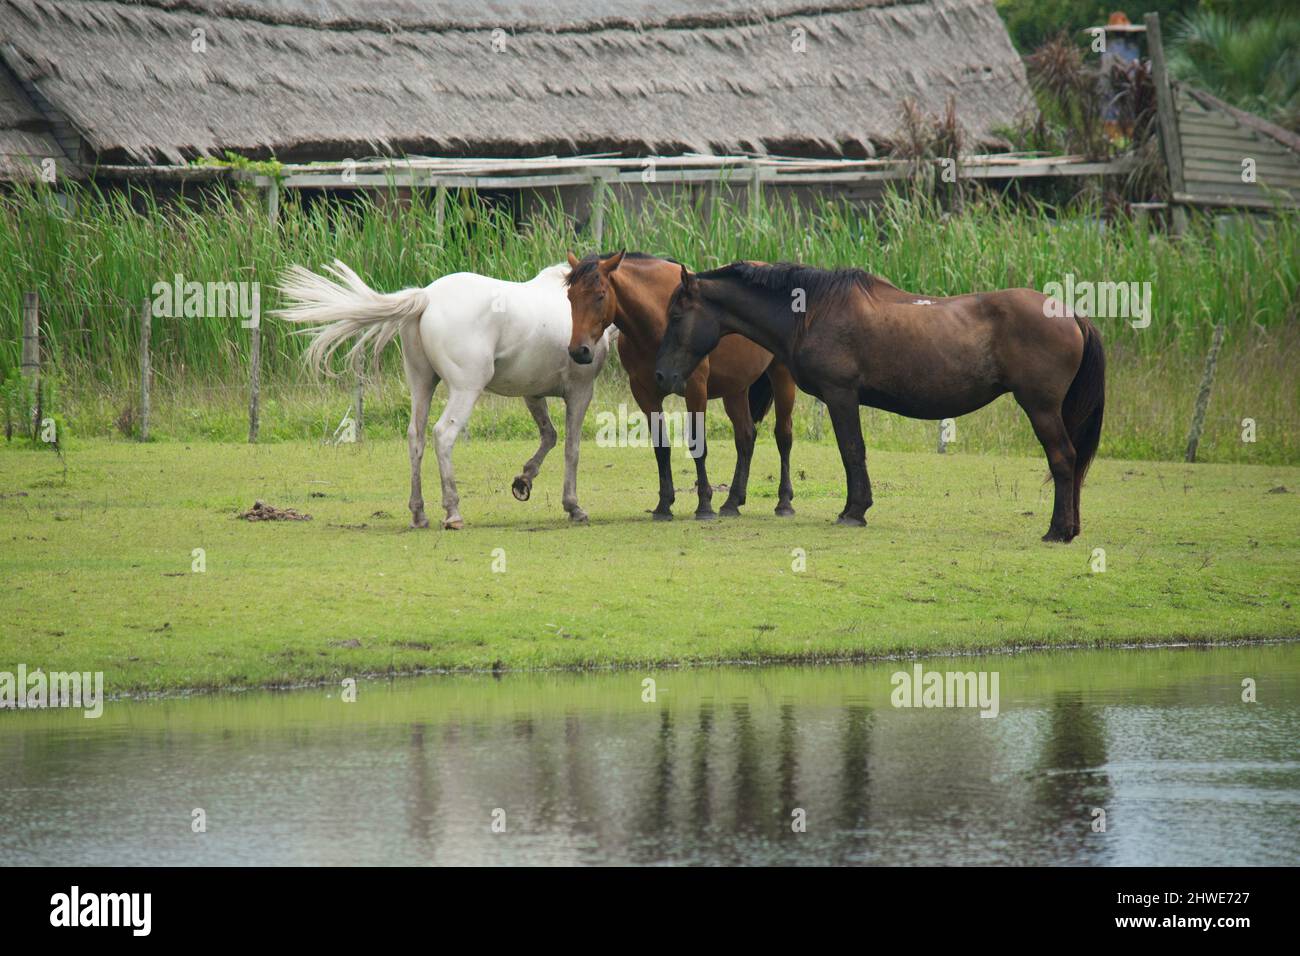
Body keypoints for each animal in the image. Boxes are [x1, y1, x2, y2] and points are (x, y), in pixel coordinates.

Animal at [274, 260, 614, 530]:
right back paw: (452, 512)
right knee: (443, 435)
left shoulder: (533, 393)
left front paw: (523, 480)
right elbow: (571, 448)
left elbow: (549, 436)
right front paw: (573, 506)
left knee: (416, 437)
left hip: (422, 384)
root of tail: (427, 296)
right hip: (466, 389)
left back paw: (418, 514)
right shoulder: (580, 391)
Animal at [565, 251, 798, 520]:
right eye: (570, 296)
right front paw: (664, 505)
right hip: (735, 389)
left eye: (600, 295)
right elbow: (661, 447)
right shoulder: (645, 394)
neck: (656, 323)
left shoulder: (695, 389)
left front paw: (704, 505)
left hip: (782, 377)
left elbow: (697, 444)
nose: (579, 351)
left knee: (783, 436)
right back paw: (732, 502)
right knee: (745, 437)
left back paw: (784, 502)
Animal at [654, 262, 1105, 543]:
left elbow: (852, 450)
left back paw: (1057, 530)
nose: (661, 376)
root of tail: (1072, 315)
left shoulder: (841, 396)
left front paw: (855, 510)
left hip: (1041, 409)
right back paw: (1072, 528)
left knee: (1063, 459)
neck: (810, 312)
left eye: (675, 316)